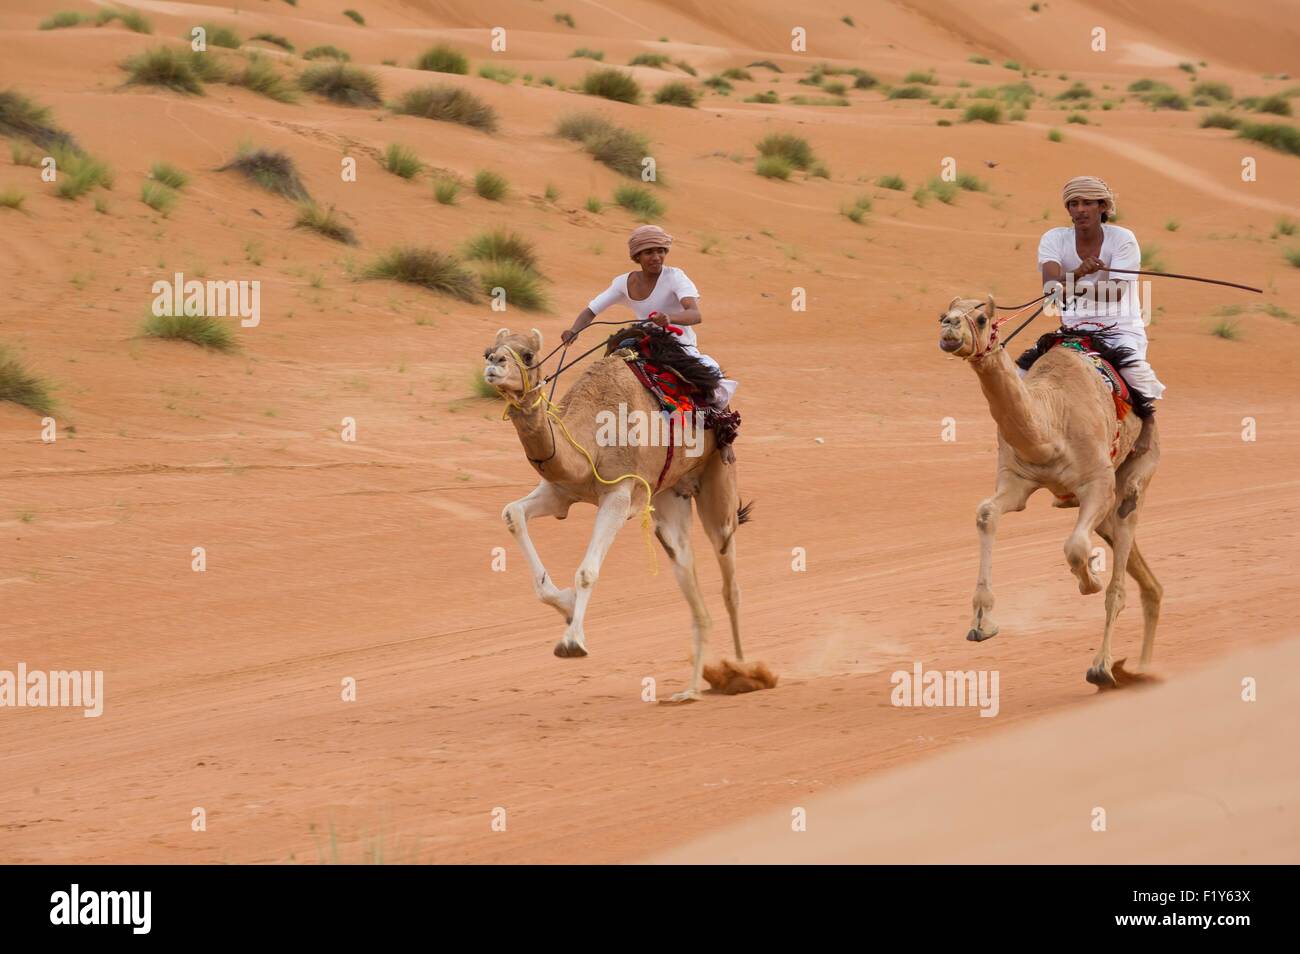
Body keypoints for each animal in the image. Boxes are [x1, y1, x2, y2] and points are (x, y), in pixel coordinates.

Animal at [482, 326, 750, 702]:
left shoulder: (618, 496)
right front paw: (566, 605)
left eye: (527, 355)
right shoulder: (561, 491)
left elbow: (587, 571)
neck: (589, 437)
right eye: (488, 351)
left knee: (729, 574)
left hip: (718, 477)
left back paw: (743, 672)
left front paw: (572, 642)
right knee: (684, 561)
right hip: (670, 494)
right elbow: (512, 513)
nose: (494, 363)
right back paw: (690, 690)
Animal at [937, 295, 1163, 687]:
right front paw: (982, 624)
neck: (1051, 424)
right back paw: (1141, 665)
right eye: (942, 315)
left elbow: (1075, 548)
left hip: (1135, 475)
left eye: (980, 319)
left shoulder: (1098, 483)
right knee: (1137, 567)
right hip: (1103, 512)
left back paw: (1103, 668)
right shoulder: (1016, 480)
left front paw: (1089, 581)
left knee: (1122, 545)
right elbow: (986, 512)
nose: (949, 327)